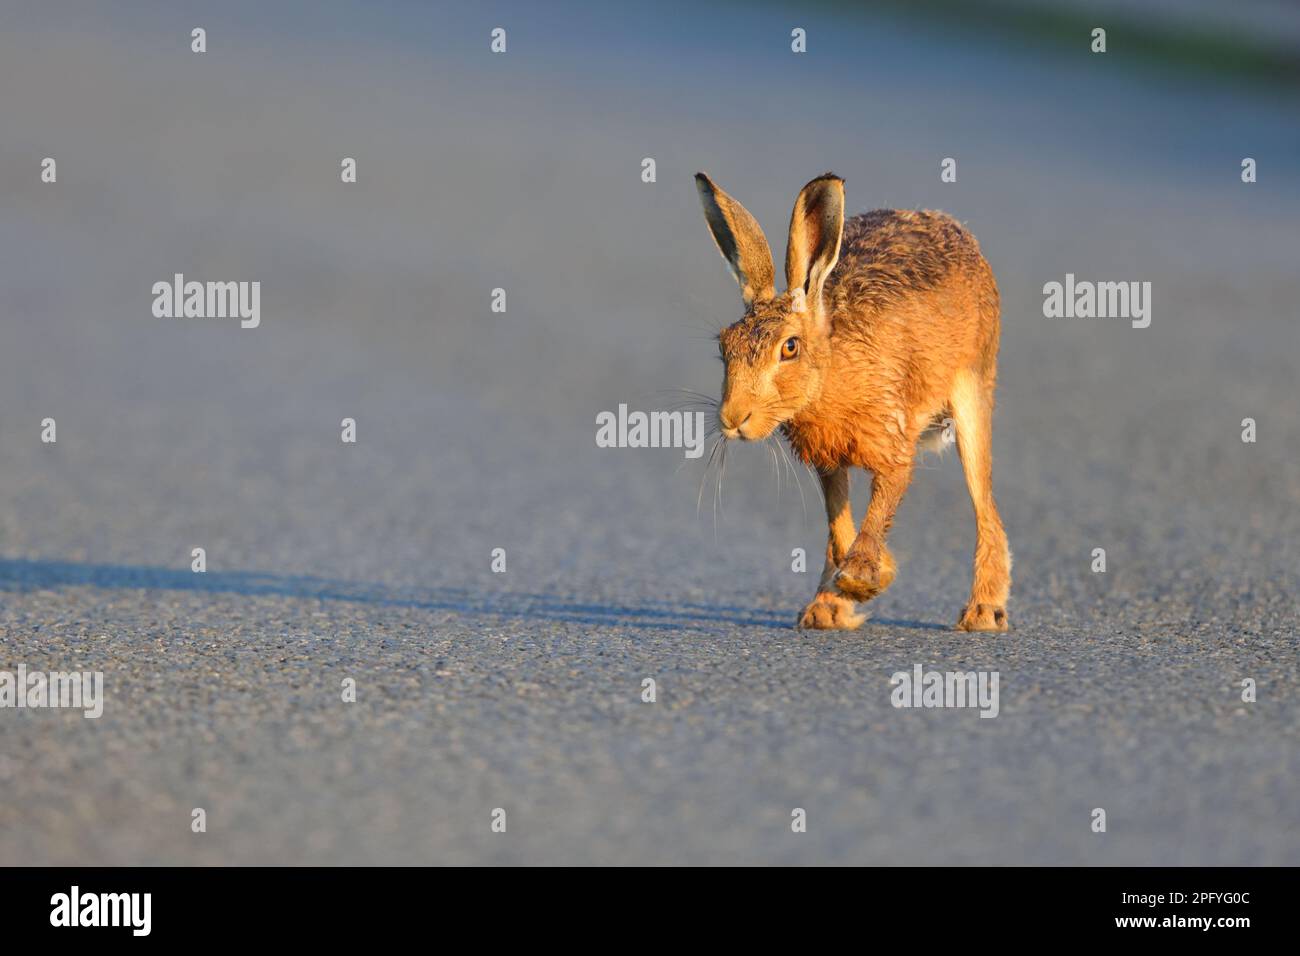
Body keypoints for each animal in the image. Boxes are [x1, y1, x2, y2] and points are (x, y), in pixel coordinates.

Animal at [694, 171, 1011, 631]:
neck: (829, 372)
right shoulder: (828, 460)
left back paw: (984, 611)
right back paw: (824, 609)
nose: (734, 418)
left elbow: (879, 509)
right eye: (724, 347)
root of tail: (955, 230)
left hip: (973, 387)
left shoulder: (894, 444)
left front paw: (864, 578)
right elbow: (838, 524)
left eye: (789, 348)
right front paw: (851, 590)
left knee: (984, 502)